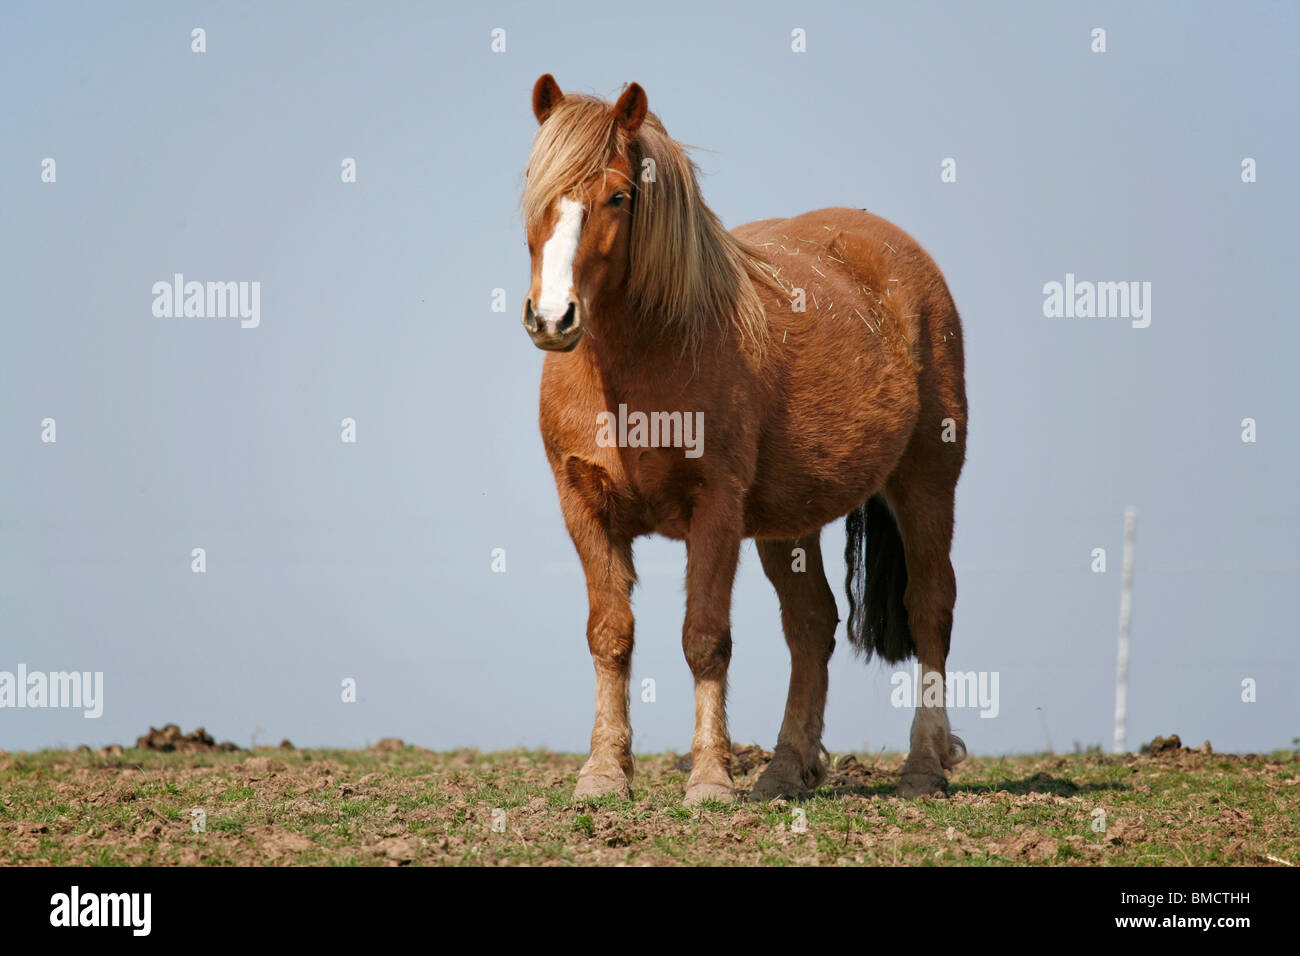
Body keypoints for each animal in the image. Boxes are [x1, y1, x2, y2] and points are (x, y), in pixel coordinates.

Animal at [519, 75, 968, 804]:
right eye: (534, 187)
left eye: (618, 196)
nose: (553, 317)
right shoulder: (584, 505)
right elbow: (610, 635)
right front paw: (604, 773)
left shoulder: (716, 509)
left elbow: (705, 637)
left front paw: (709, 779)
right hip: (789, 522)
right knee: (811, 627)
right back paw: (785, 770)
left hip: (927, 482)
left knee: (930, 607)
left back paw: (923, 766)